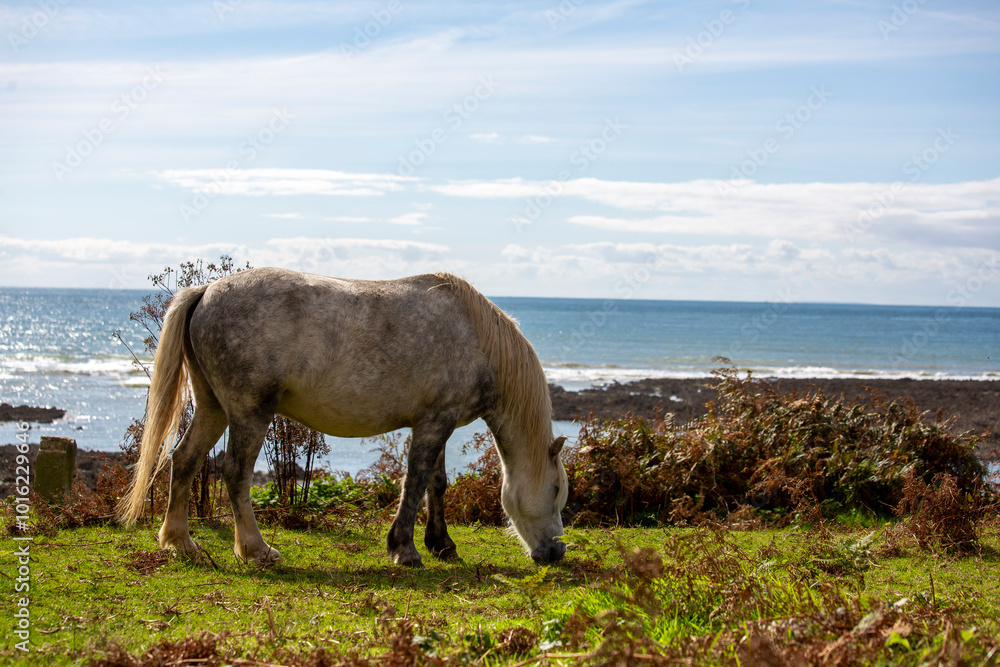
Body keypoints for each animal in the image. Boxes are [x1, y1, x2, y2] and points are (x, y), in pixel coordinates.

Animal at [118, 267, 568, 567]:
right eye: (558, 490)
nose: (556, 551)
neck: (476, 337)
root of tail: (207, 290)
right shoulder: (434, 424)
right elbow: (416, 480)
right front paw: (404, 549)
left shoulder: (437, 422)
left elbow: (436, 484)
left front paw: (441, 543)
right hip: (249, 412)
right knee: (235, 474)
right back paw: (256, 549)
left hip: (212, 408)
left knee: (184, 459)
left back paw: (180, 541)